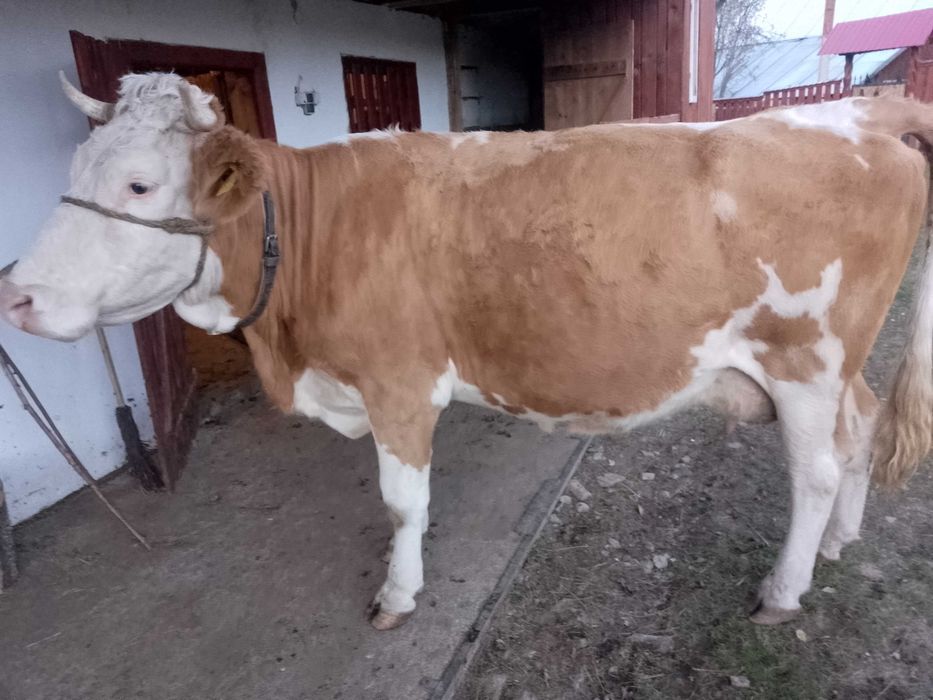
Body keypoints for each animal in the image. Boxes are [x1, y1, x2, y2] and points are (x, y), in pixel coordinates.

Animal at [2, 72, 932, 631]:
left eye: (139, 185)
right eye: (75, 170)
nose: (18, 295)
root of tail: (856, 109)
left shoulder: (398, 384)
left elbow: (401, 504)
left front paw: (396, 594)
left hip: (805, 359)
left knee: (815, 470)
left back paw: (783, 590)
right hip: (836, 368)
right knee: (861, 430)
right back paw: (839, 543)